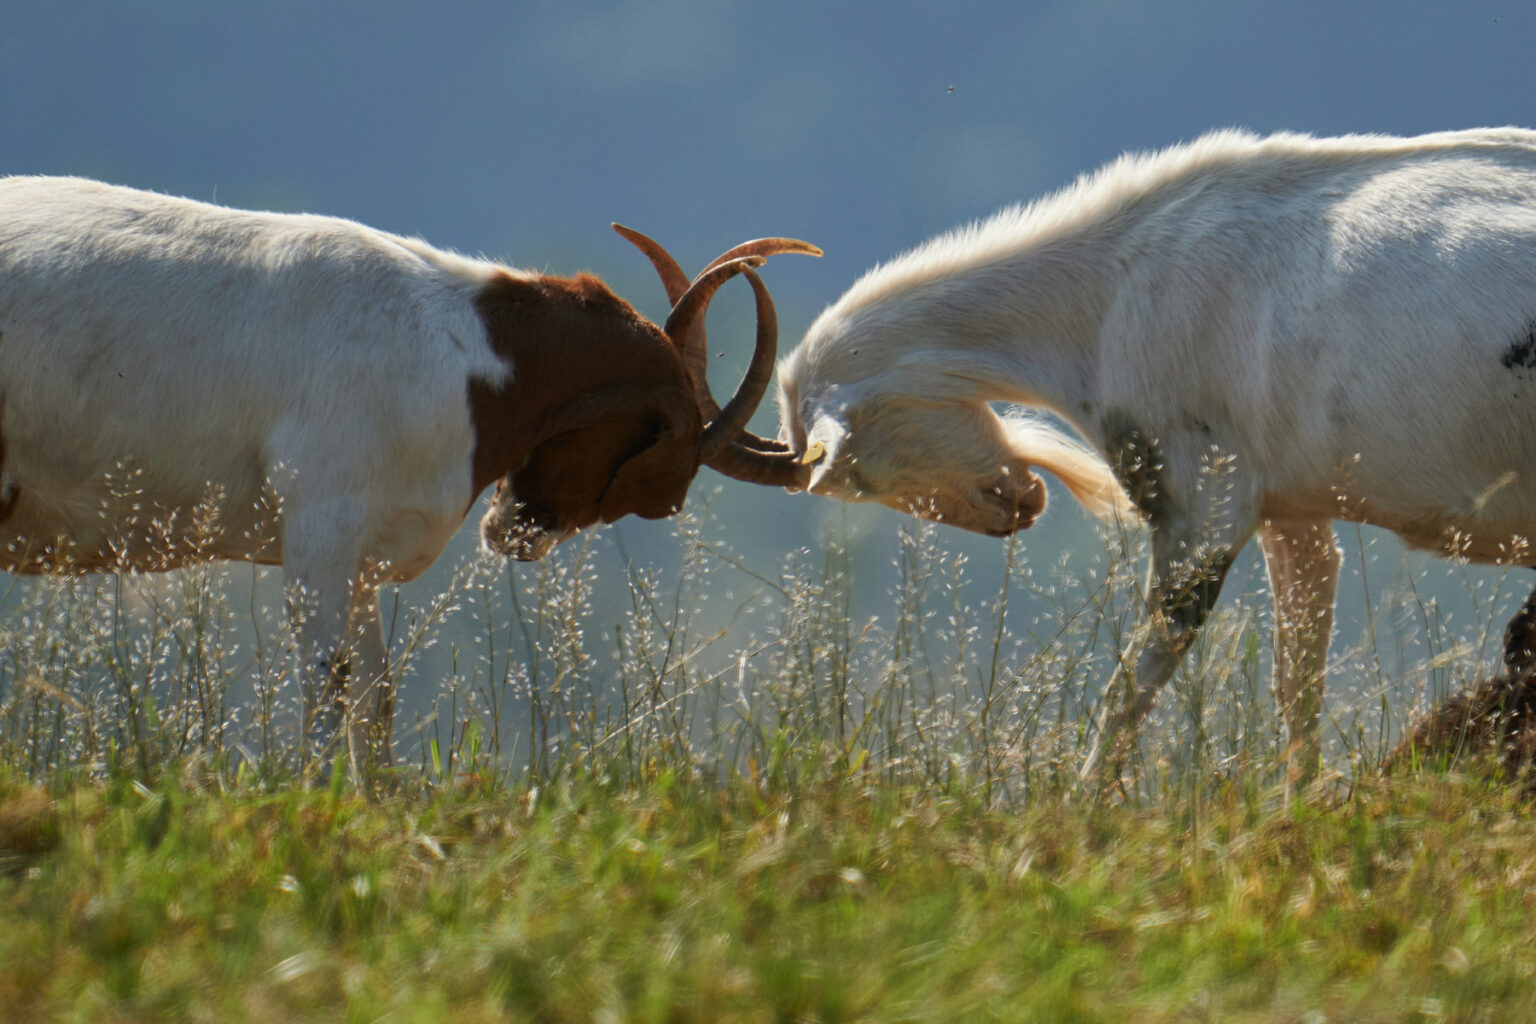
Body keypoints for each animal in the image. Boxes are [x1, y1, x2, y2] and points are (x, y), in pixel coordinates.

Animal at [0, 175, 818, 768]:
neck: (463, 354)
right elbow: (329, 679)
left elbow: (375, 693)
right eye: (658, 460)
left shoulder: (363, 559)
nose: (519, 532)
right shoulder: (320, 529)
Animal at [774, 127, 1536, 794]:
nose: (1014, 509)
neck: (1106, 291)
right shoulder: (1288, 510)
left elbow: (1130, 686)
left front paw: (1080, 808)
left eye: (857, 473)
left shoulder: (1199, 504)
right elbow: (1297, 677)